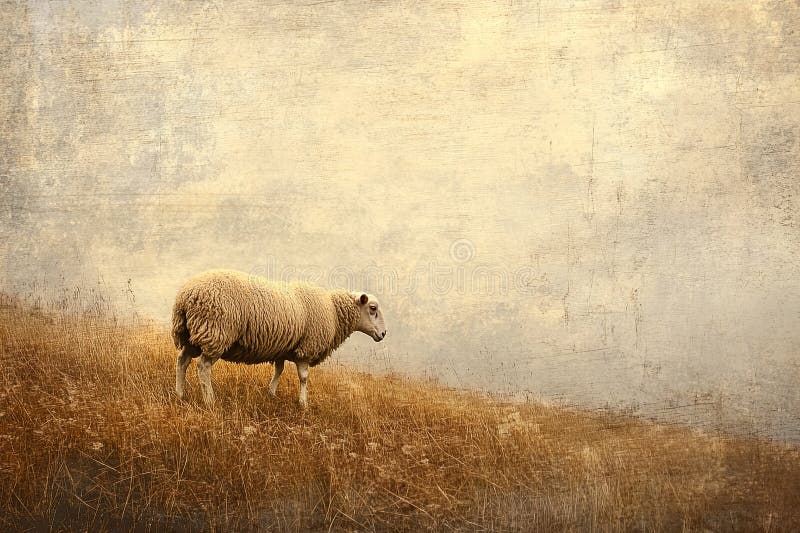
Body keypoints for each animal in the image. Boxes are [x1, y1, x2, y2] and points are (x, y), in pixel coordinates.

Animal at [171, 269, 387, 407]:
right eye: (373, 308)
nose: (383, 334)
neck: (333, 311)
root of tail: (186, 296)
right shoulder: (306, 348)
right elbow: (304, 377)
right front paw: (303, 403)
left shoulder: (283, 348)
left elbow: (279, 370)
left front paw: (271, 393)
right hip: (216, 332)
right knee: (203, 366)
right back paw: (209, 400)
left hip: (191, 334)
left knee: (183, 360)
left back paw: (180, 394)